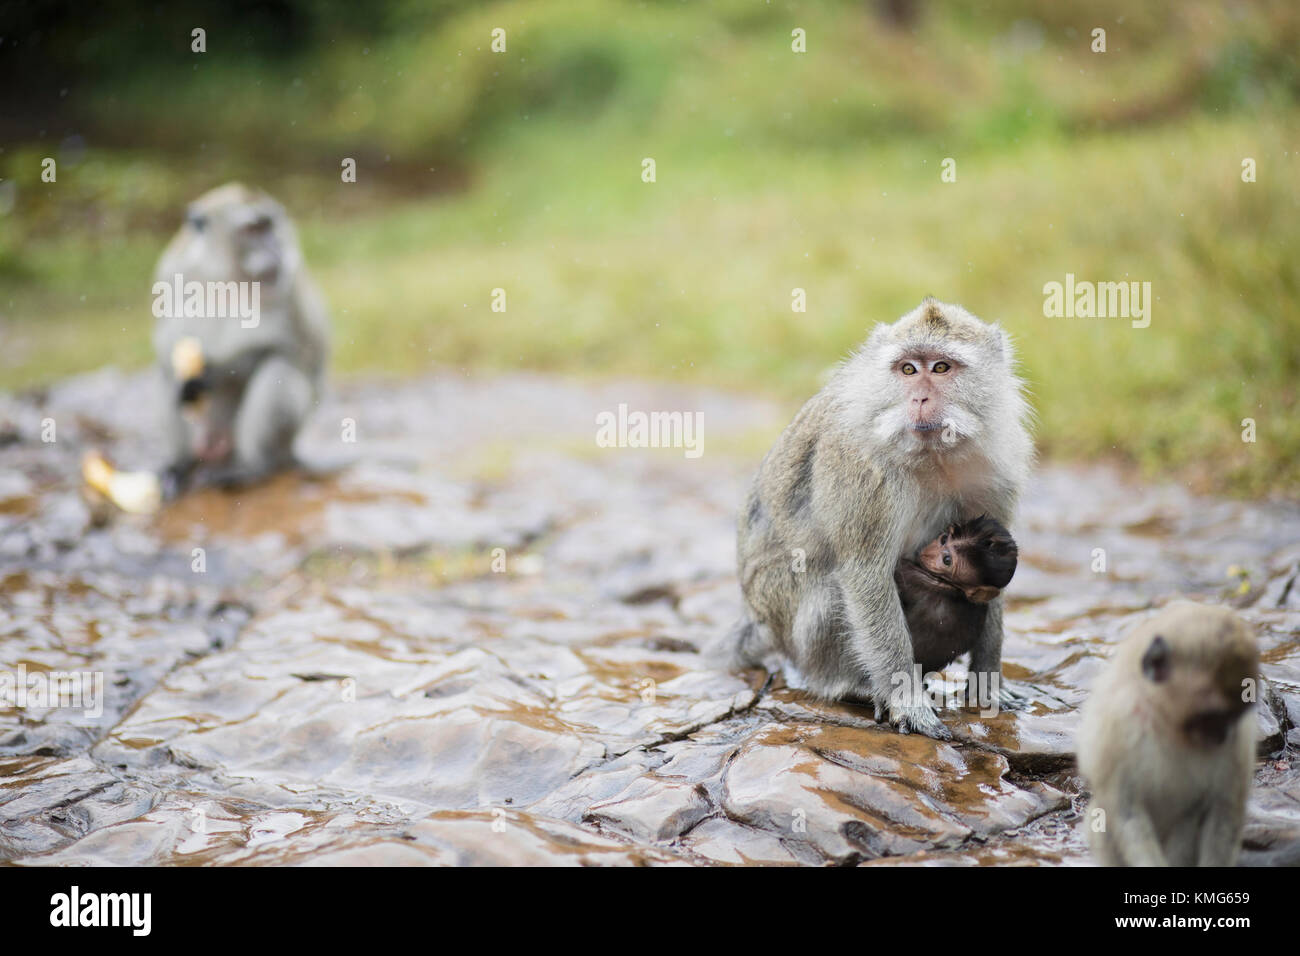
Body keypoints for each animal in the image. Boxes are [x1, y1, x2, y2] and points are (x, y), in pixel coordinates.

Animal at [151, 183, 329, 497]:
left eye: (269, 226)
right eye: (253, 230)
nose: (276, 249)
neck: (228, 276)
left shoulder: (290, 283)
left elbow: (297, 351)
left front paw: (214, 371)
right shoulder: (171, 271)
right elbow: (165, 344)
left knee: (279, 369)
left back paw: (252, 466)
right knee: (167, 377)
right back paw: (180, 465)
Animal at [1077, 602, 1259, 866]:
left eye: (1234, 716)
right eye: (1212, 717)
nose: (1223, 735)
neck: (1166, 723)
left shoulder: (1240, 738)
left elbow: (1225, 809)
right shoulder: (1116, 726)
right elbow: (1125, 811)